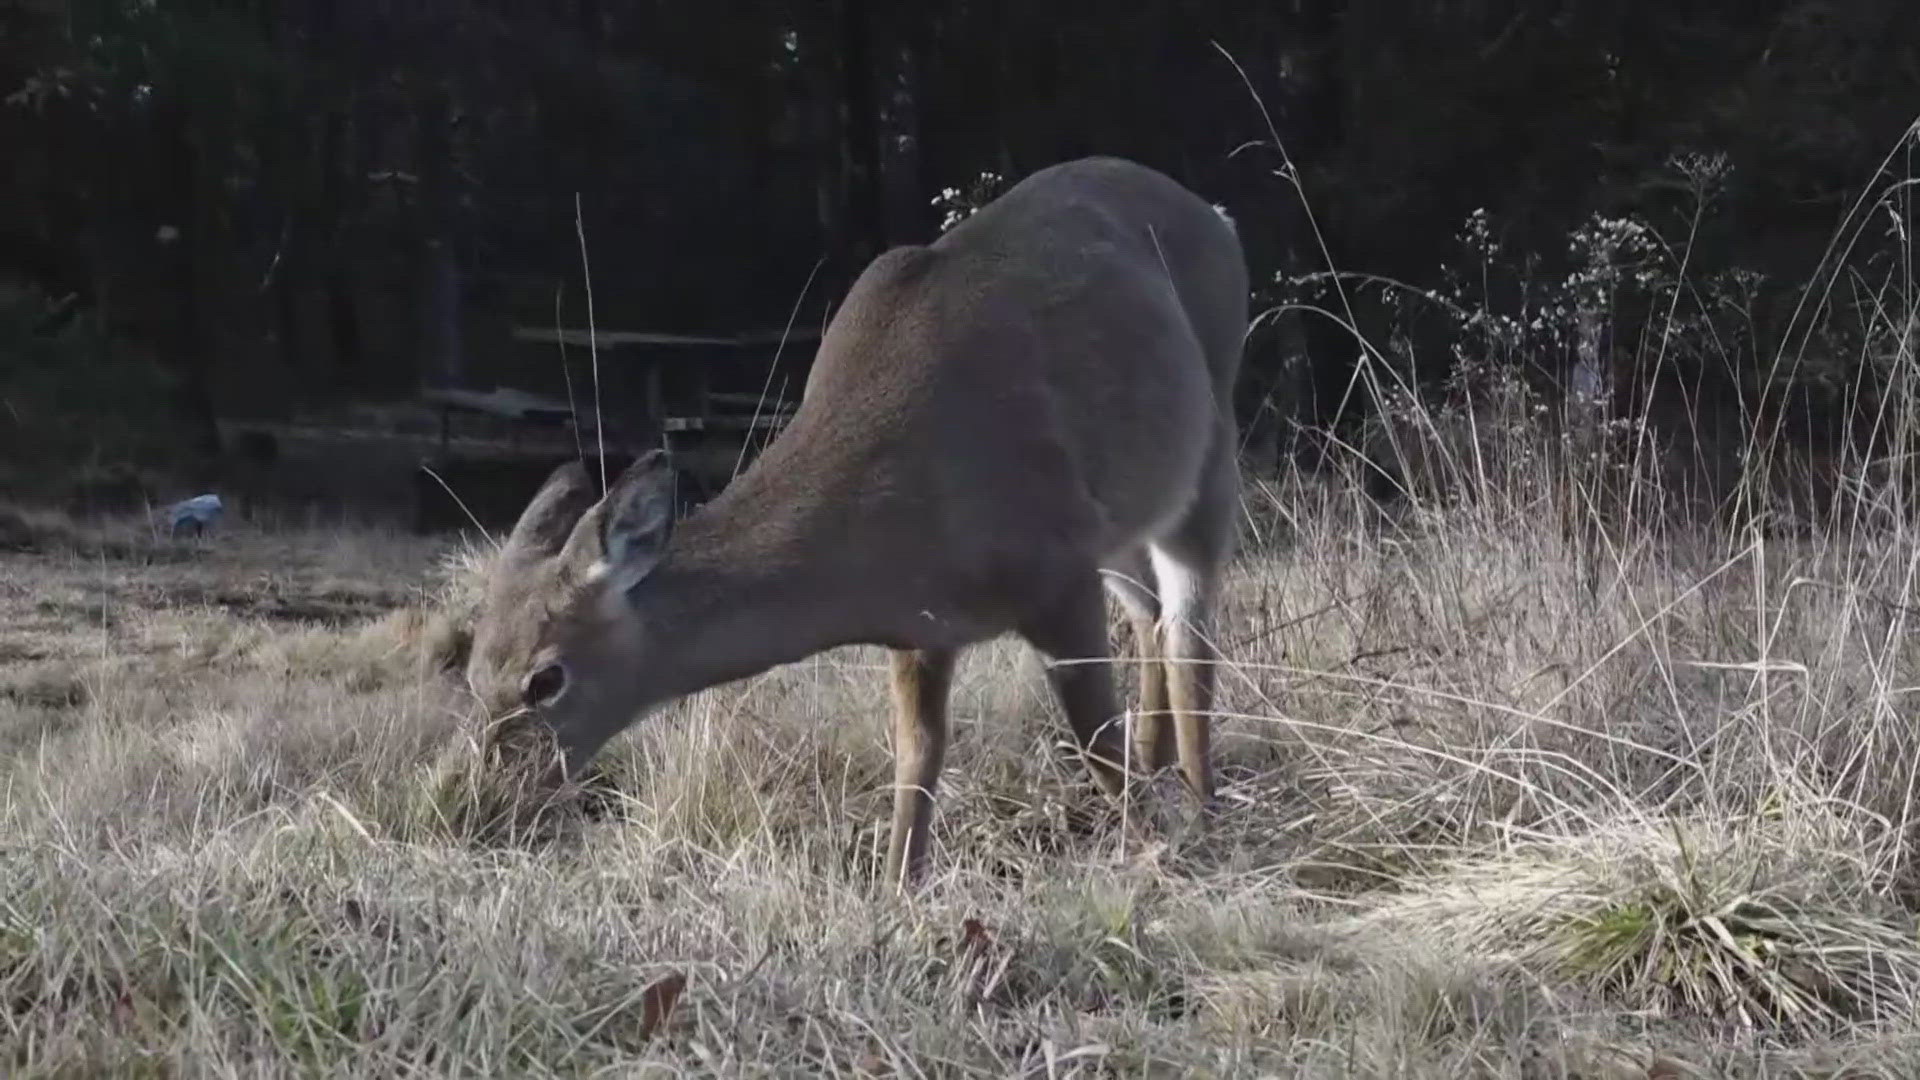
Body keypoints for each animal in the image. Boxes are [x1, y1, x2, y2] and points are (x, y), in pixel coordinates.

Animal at [464, 156, 1247, 888]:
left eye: (546, 679)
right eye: (471, 674)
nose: (482, 801)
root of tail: (1217, 218)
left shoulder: (1055, 566)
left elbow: (1093, 740)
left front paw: (1155, 850)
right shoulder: (924, 626)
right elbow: (918, 754)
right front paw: (901, 884)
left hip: (1208, 450)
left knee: (1190, 632)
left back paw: (1201, 803)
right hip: (1122, 517)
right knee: (1149, 616)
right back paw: (1161, 767)